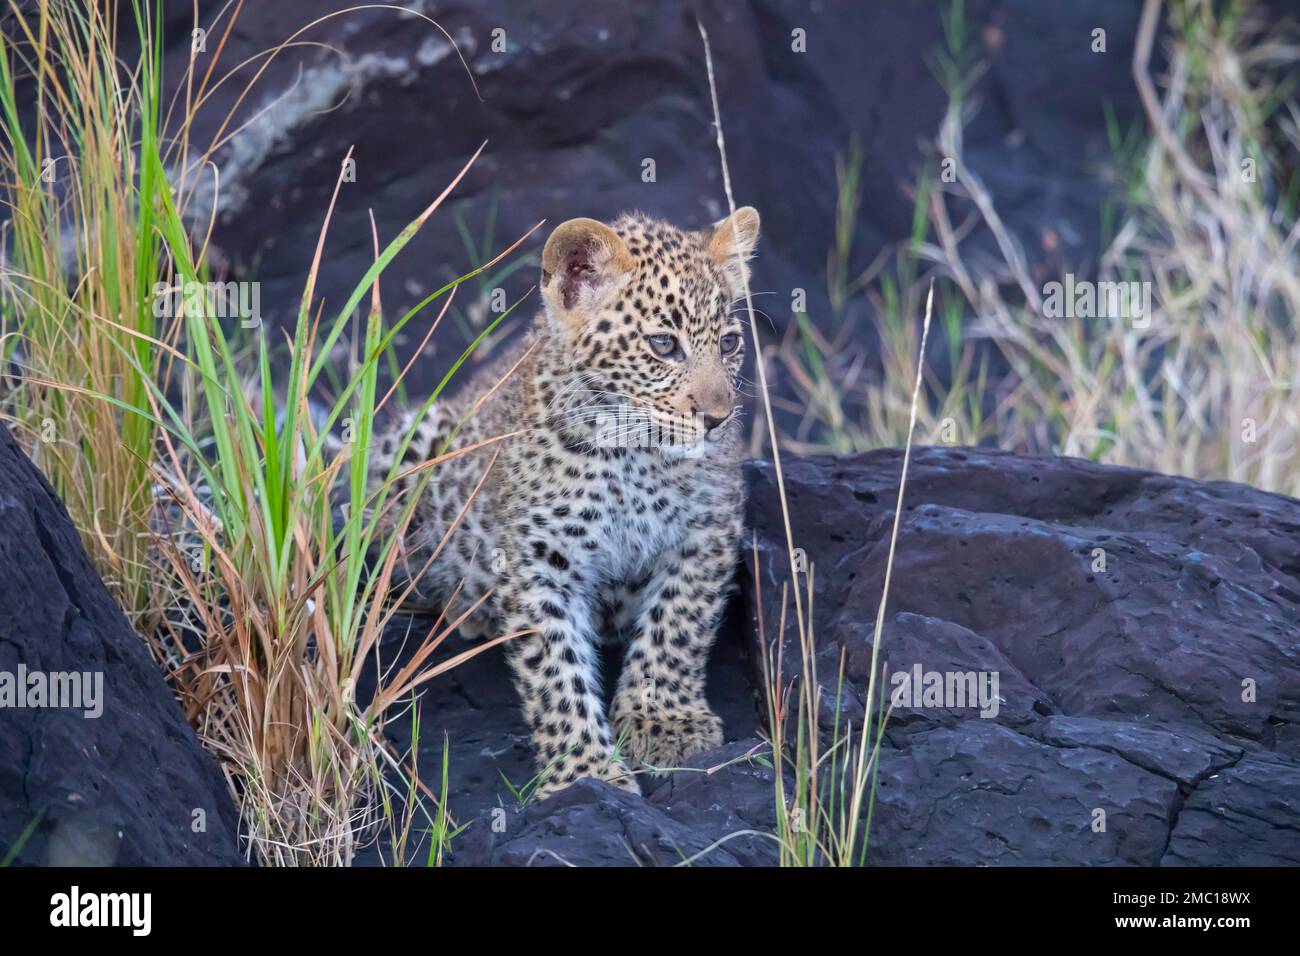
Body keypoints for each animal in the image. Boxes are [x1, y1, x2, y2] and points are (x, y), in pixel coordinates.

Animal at [368, 206, 760, 800]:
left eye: (730, 343)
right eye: (663, 345)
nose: (718, 417)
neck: (635, 457)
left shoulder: (707, 532)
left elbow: (677, 625)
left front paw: (661, 722)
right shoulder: (537, 561)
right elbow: (555, 670)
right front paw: (585, 773)